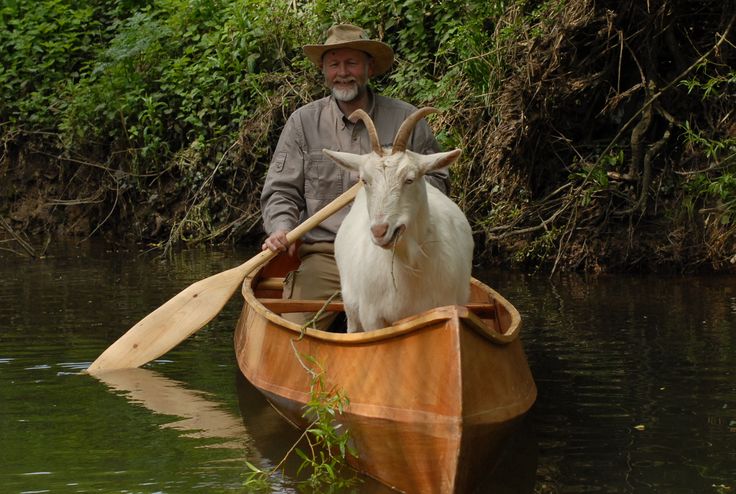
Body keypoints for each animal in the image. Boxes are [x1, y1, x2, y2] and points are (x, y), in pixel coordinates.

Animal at [324, 108, 473, 332]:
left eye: (409, 179)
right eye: (364, 180)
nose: (380, 231)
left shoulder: (444, 303)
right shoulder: (372, 317)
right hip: (351, 308)